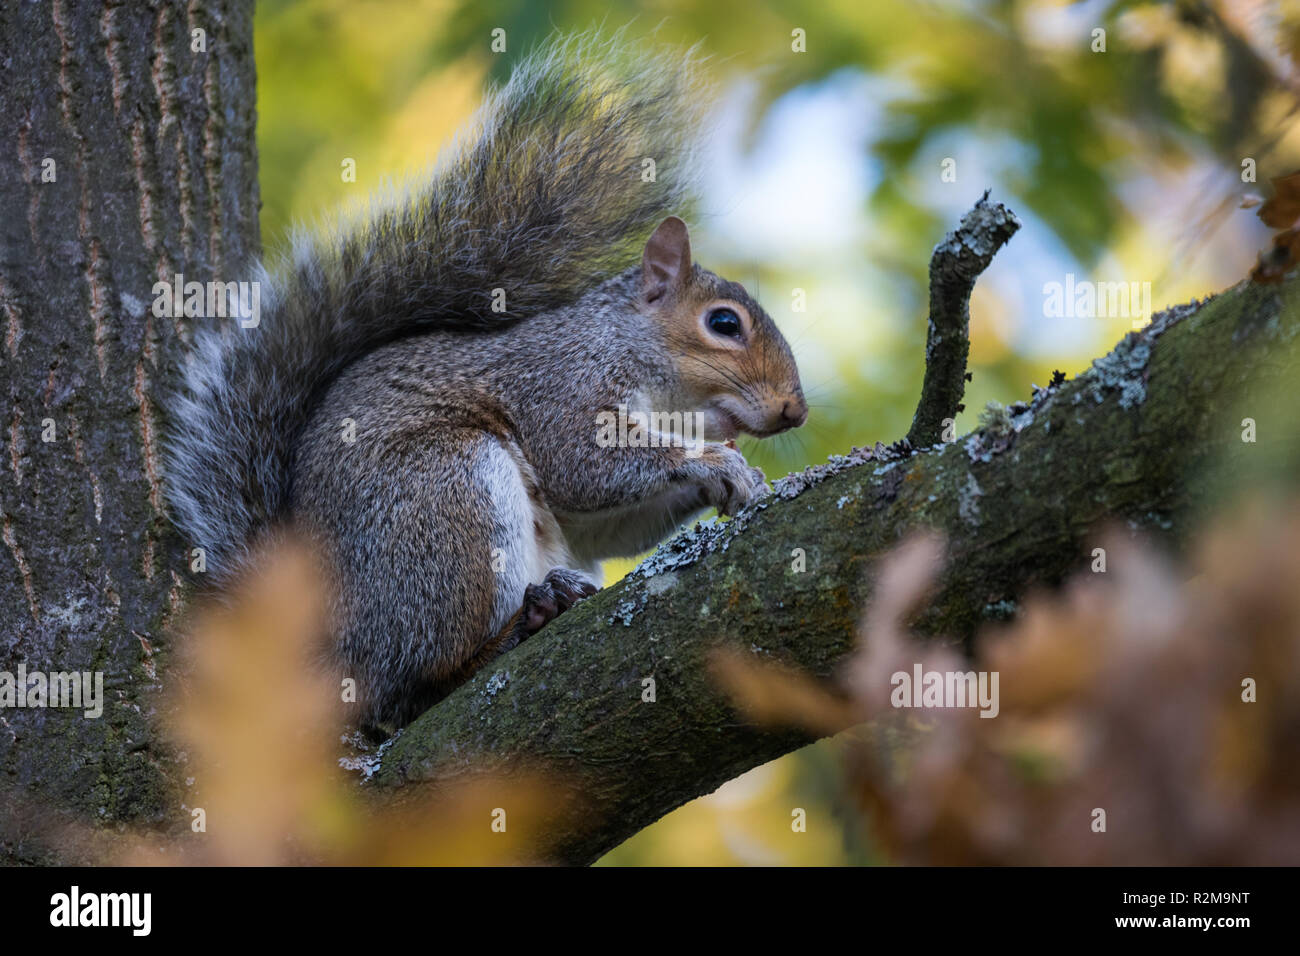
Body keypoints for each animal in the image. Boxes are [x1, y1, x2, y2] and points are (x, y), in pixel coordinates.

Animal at [163, 34, 807, 731]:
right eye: (724, 323)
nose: (794, 411)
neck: (635, 357)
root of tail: (334, 658)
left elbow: (603, 521)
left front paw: (738, 478)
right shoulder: (559, 382)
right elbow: (583, 463)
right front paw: (716, 461)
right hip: (447, 498)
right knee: (418, 683)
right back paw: (513, 630)